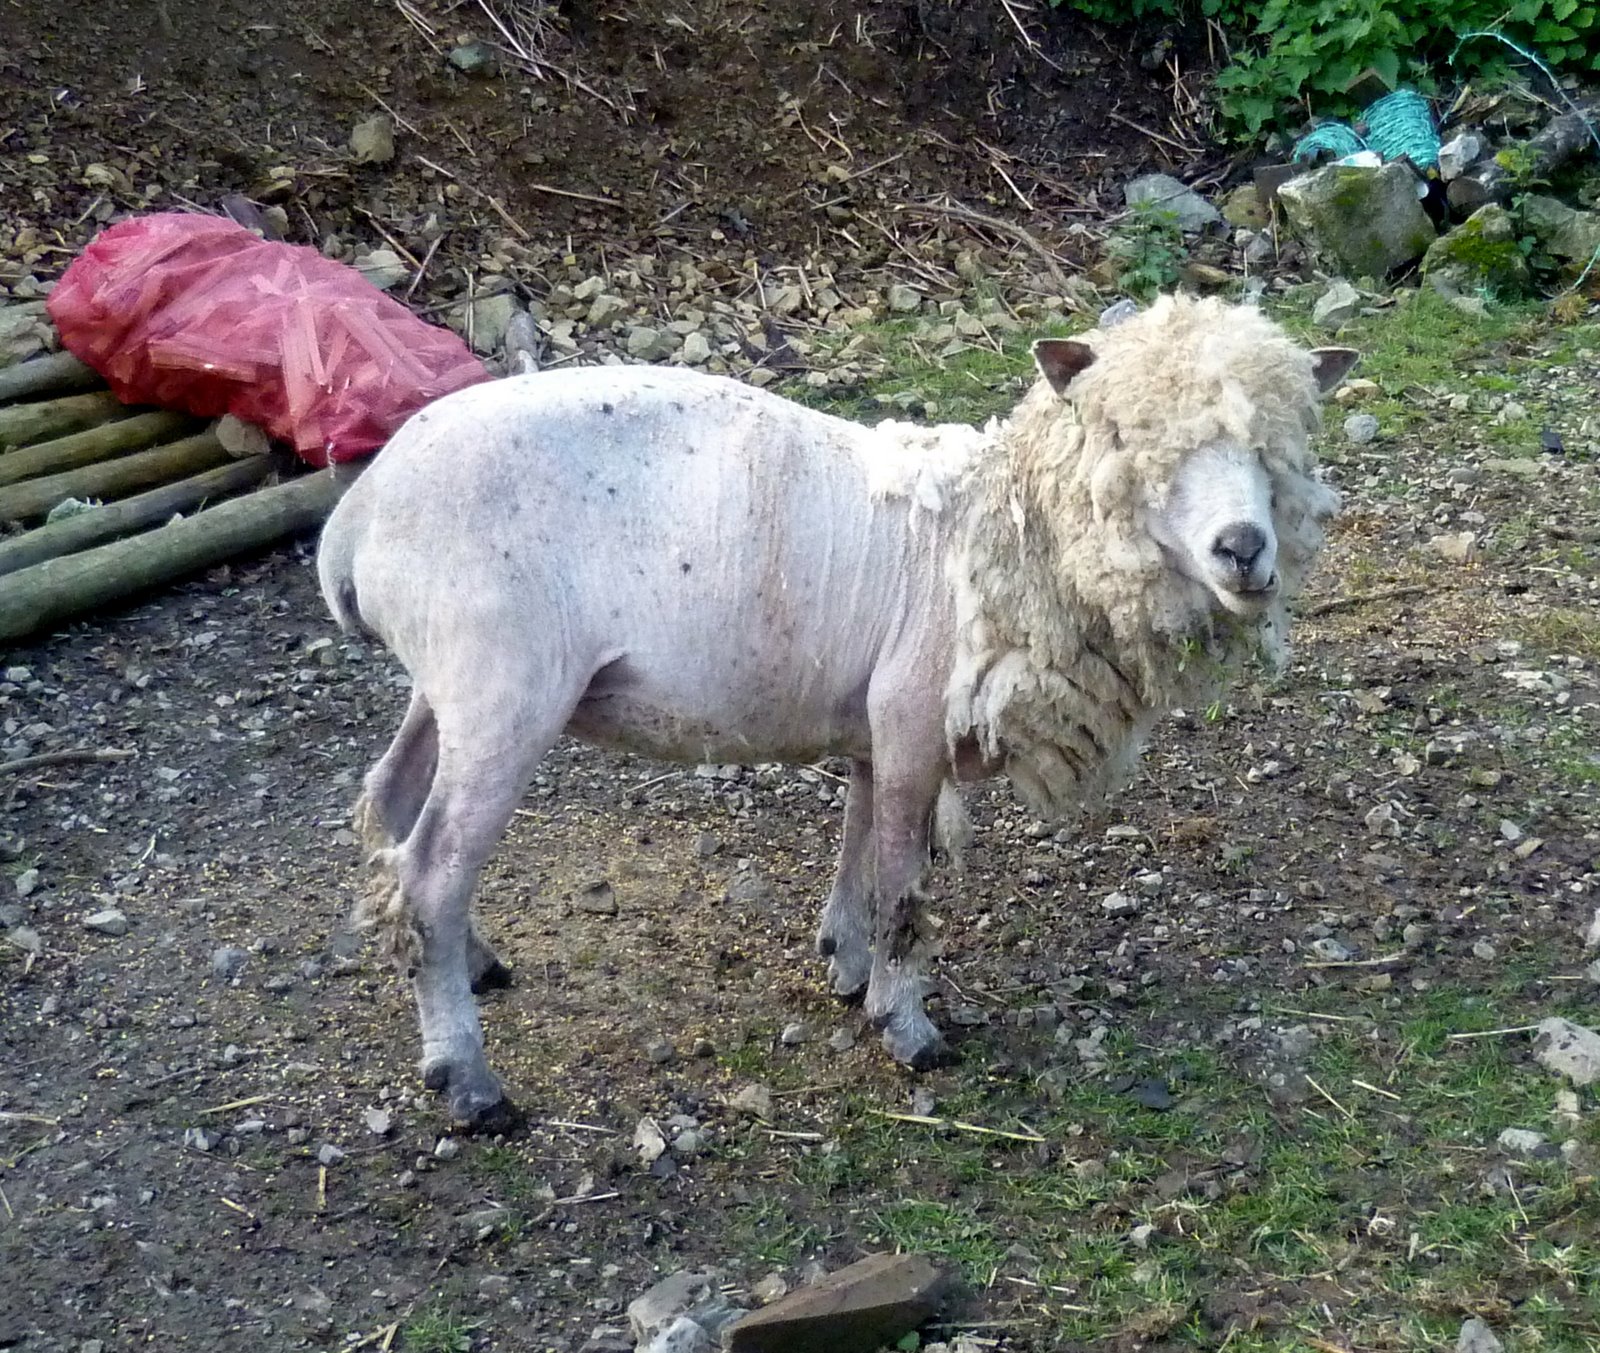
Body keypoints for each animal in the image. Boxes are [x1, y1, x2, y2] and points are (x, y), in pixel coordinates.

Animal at [317, 293, 1357, 1130]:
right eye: (1128, 444)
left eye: (1273, 452)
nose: (1242, 548)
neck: (998, 534)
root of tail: (354, 518)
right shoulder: (910, 719)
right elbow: (903, 880)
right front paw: (908, 1022)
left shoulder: (873, 726)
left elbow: (858, 846)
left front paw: (846, 963)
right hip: (503, 688)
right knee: (432, 871)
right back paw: (466, 1078)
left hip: (445, 685)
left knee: (392, 807)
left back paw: (472, 962)